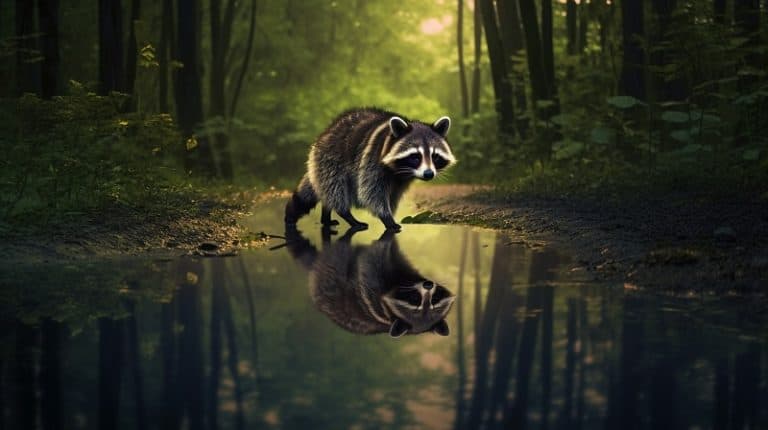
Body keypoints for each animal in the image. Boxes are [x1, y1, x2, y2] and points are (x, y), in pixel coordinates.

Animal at [284, 108, 456, 231]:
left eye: (435, 156)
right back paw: (345, 214)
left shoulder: (400, 180)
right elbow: (371, 192)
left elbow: (393, 195)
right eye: (415, 157)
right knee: (335, 189)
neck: (399, 171)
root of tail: (326, 131)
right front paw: (387, 217)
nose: (429, 174)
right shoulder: (372, 160)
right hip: (330, 159)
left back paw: (326, 214)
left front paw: (390, 213)